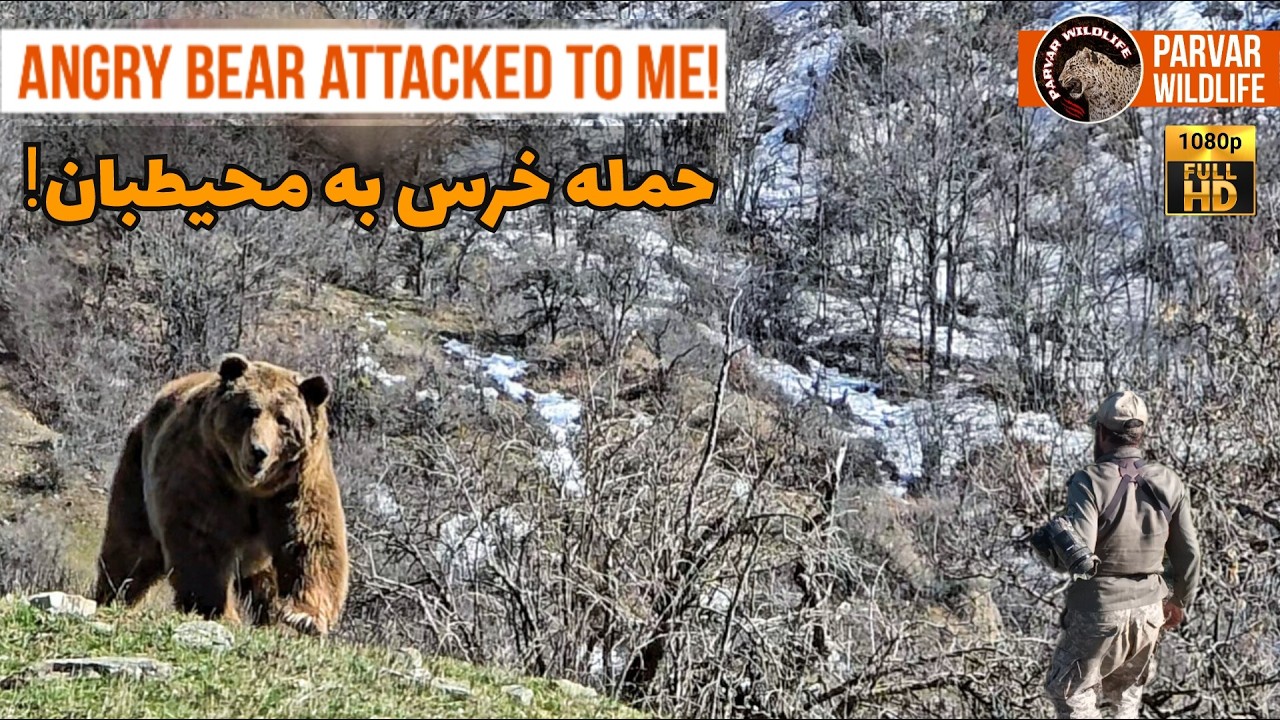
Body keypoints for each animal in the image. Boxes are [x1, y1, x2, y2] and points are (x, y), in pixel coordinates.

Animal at [91, 352, 350, 637]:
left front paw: (303, 616)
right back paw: (112, 595)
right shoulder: (204, 471)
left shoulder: (297, 483)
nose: (258, 451)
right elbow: (202, 539)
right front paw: (221, 611)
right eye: (250, 410)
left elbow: (311, 539)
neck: (251, 486)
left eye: (284, 419)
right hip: (137, 474)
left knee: (265, 583)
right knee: (129, 550)